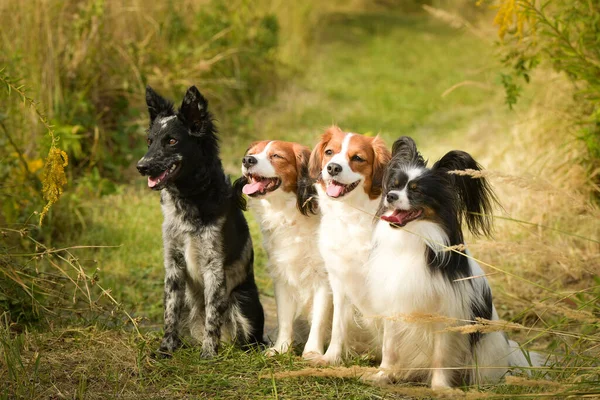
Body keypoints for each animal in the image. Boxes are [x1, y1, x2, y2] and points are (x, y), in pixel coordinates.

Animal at [139, 86, 266, 358]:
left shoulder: (213, 266)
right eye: (149, 141)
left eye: (172, 141)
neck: (191, 197)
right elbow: (170, 313)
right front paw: (166, 349)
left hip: (244, 302)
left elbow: (212, 314)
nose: (141, 167)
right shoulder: (173, 264)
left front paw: (208, 354)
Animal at [239, 139, 332, 358]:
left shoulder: (324, 278)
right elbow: (284, 317)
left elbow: (319, 319)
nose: (247, 160)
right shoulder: (282, 275)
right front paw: (282, 348)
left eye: (276, 156)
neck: (291, 215)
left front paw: (312, 353)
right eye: (252, 153)